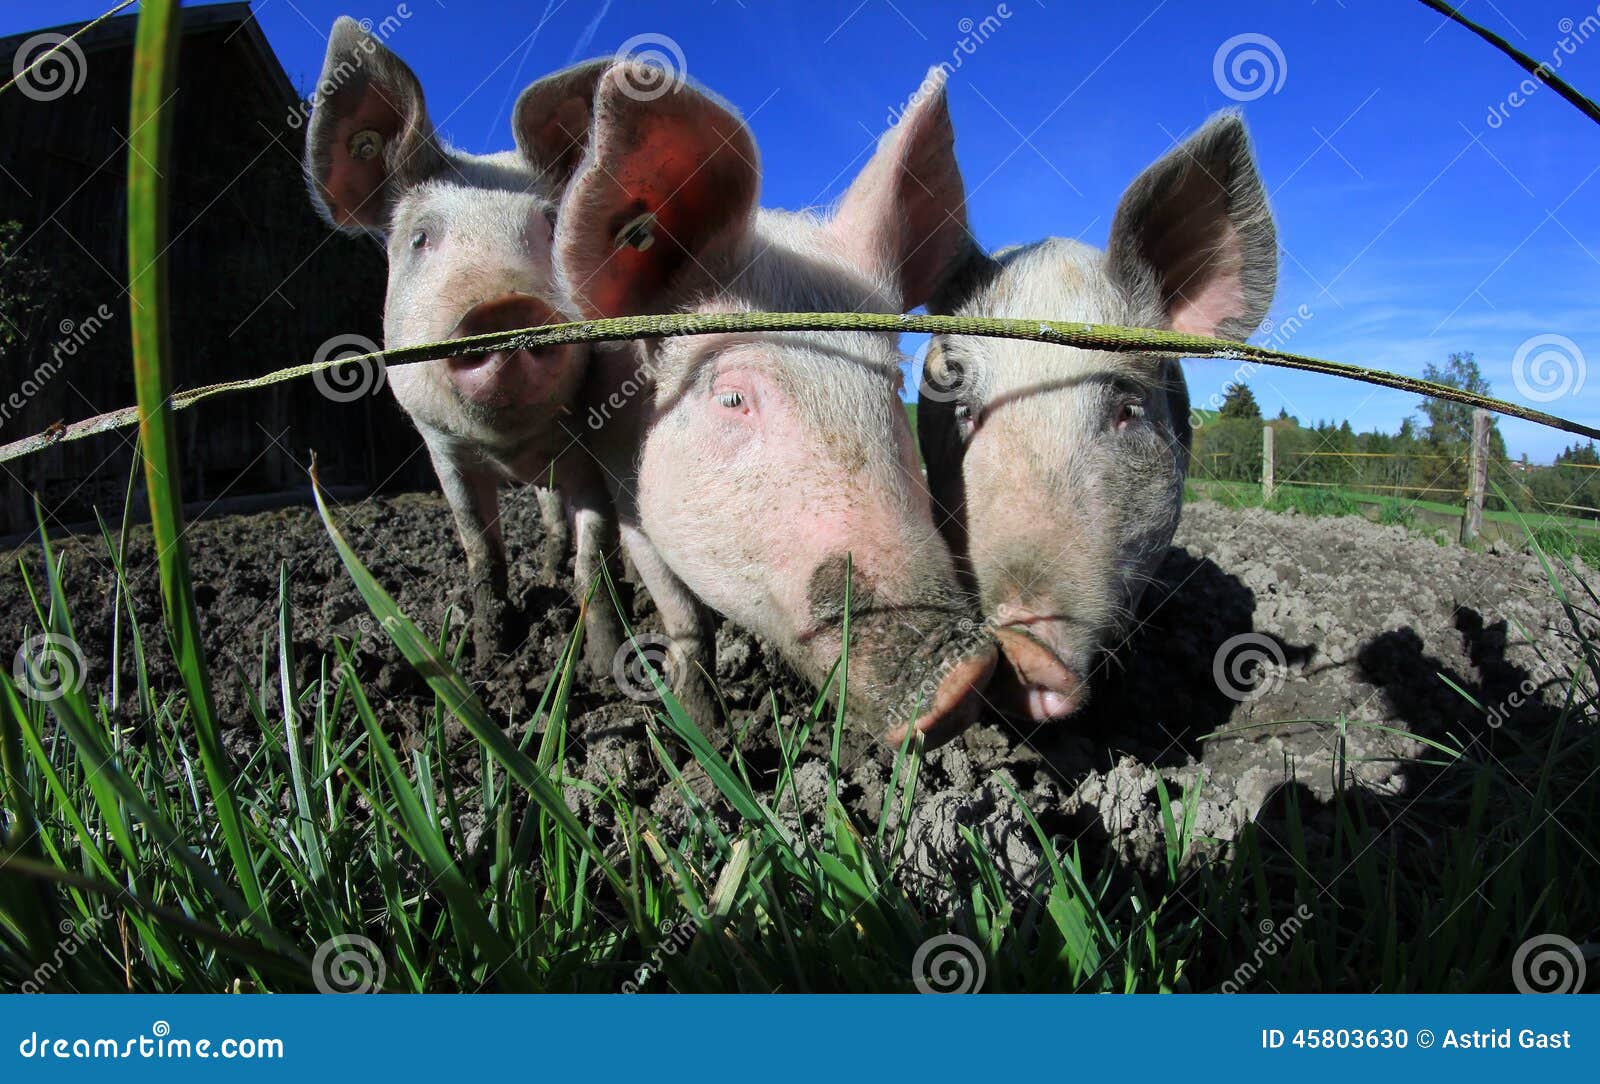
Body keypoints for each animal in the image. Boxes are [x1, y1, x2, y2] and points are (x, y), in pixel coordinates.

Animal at [304, 19, 623, 671]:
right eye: (421, 238)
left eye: (552, 227)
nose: (505, 309)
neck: (509, 449)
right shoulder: (442, 448)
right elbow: (481, 552)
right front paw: (486, 658)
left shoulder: (589, 443)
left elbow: (595, 562)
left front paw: (606, 668)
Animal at [551, 62, 1035, 743]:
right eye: (732, 397)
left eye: (891, 385)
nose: (960, 676)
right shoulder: (627, 480)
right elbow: (682, 616)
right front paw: (706, 734)